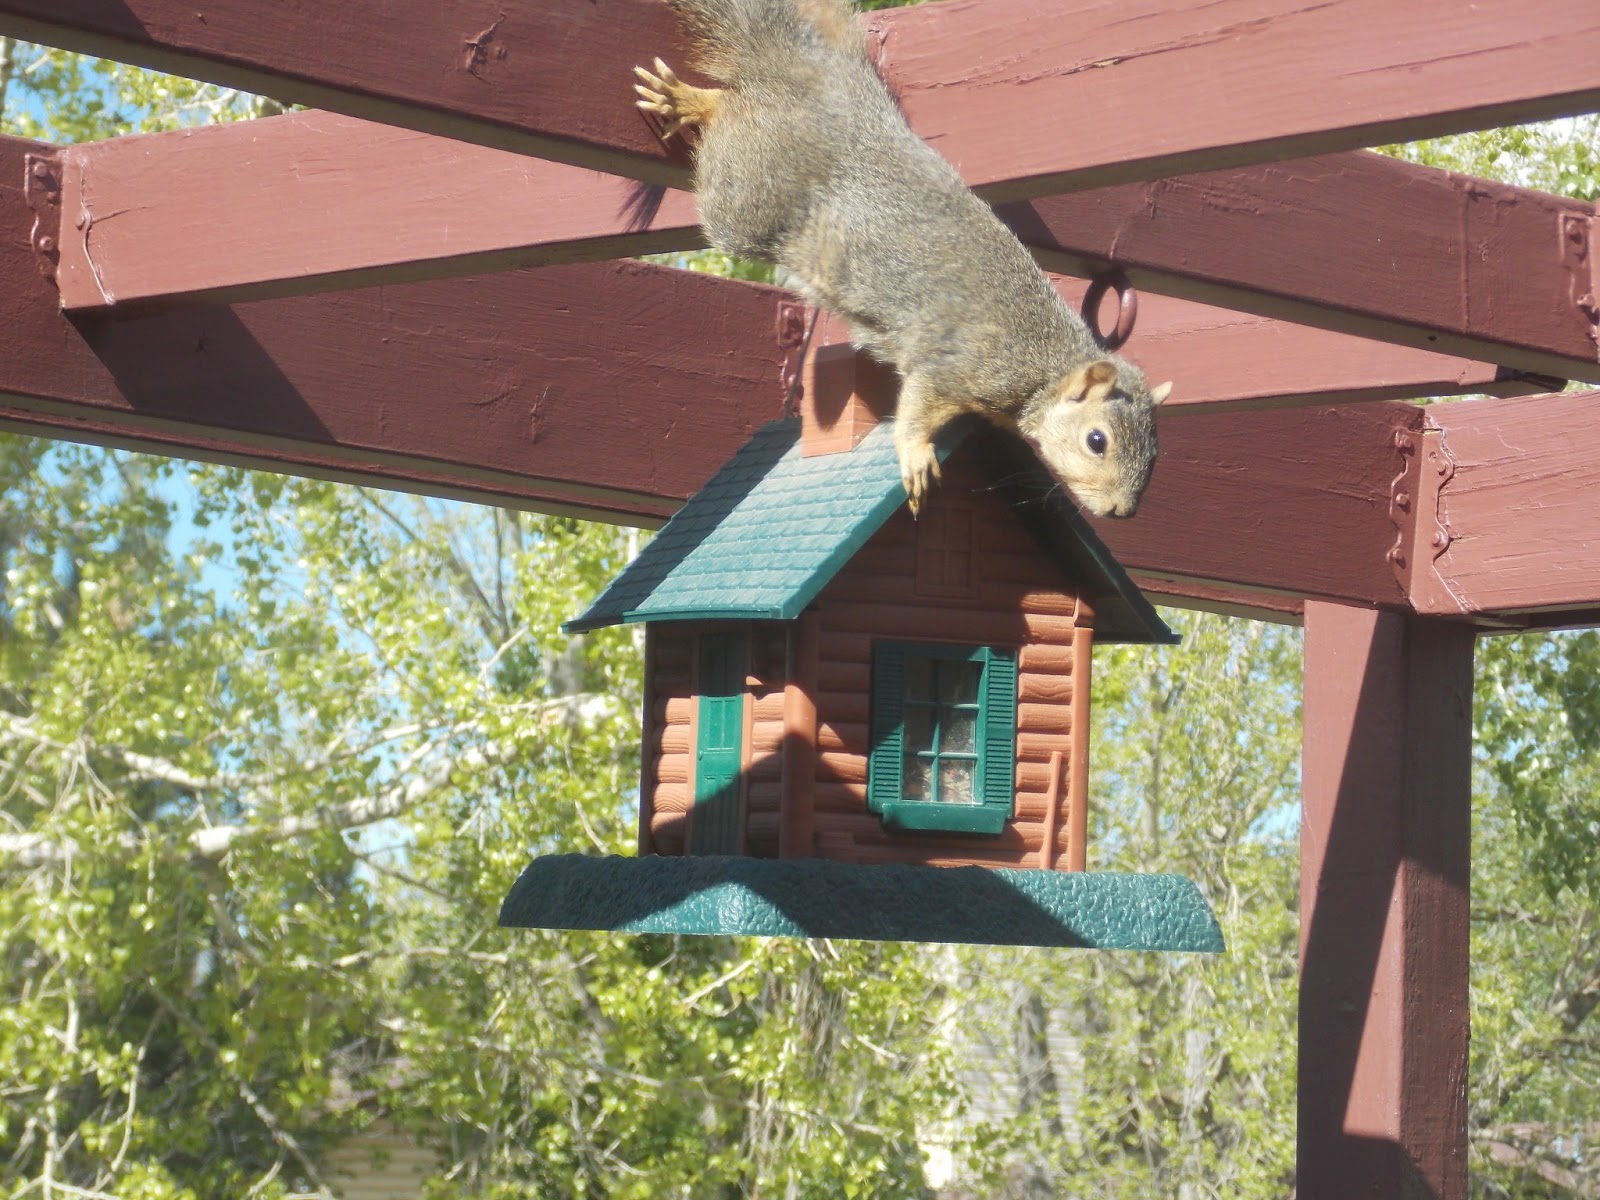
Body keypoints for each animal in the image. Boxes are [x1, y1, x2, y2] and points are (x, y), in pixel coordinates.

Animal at [635, 0, 1171, 518]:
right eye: (1096, 441)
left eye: (1155, 455)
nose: (1122, 511)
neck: (1047, 367)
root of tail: (822, 89)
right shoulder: (950, 365)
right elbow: (916, 409)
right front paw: (916, 458)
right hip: (747, 191)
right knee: (729, 117)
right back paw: (689, 100)